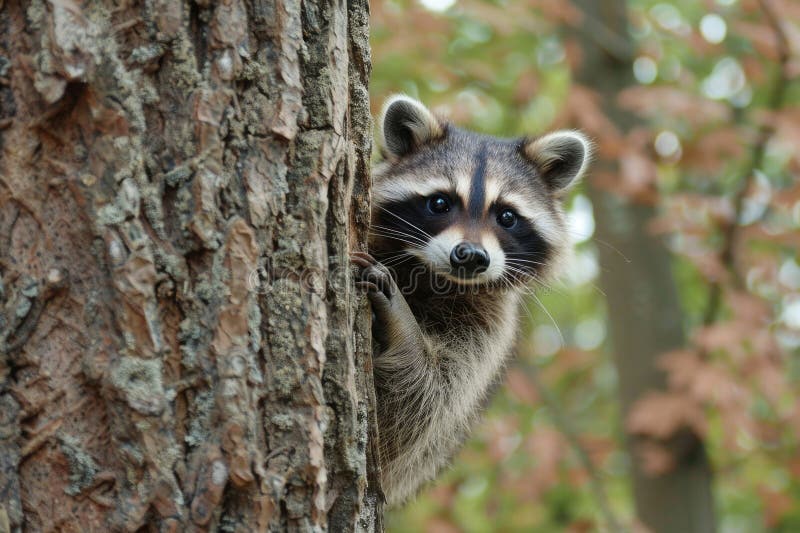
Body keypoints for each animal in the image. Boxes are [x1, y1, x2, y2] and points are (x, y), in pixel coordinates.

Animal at [352, 95, 591, 506]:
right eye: (439, 202)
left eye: (507, 216)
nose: (471, 256)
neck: (432, 278)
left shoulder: (489, 326)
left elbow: (419, 411)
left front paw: (405, 332)